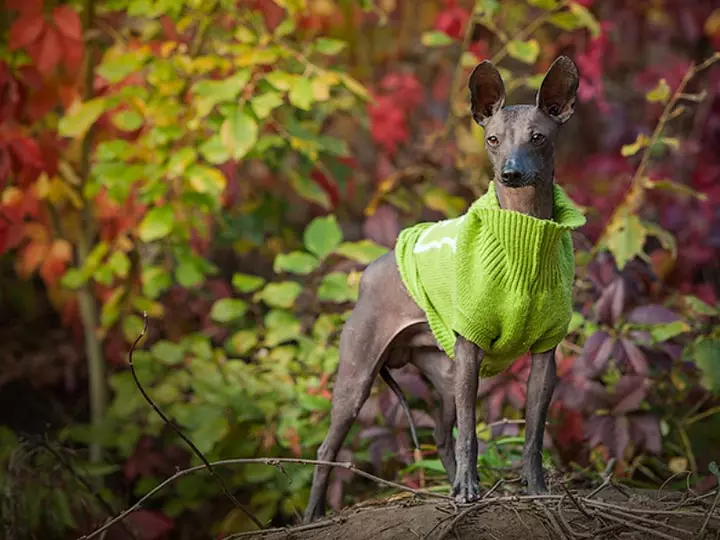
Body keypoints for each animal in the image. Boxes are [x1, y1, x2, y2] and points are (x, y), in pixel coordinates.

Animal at [304, 56, 584, 524]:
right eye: (492, 139)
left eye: (538, 137)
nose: (510, 173)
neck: (523, 233)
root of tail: (369, 272)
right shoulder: (470, 350)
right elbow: (471, 432)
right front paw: (470, 490)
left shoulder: (545, 356)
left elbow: (533, 436)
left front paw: (537, 491)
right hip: (359, 378)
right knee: (328, 448)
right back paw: (313, 516)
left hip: (445, 372)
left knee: (439, 433)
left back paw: (452, 485)